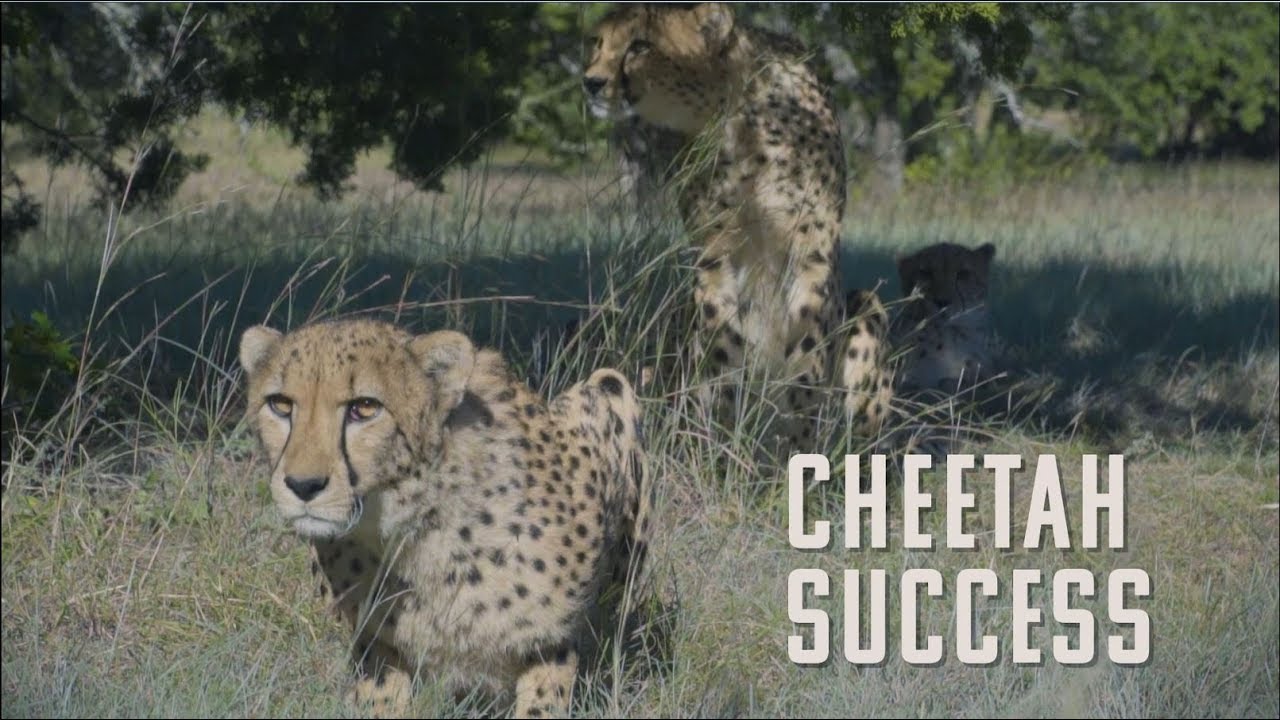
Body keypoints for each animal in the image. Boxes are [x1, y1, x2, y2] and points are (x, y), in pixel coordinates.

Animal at [237, 317, 652, 719]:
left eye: (365, 408)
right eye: (280, 404)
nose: (303, 485)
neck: (422, 524)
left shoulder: (552, 642)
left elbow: (542, 700)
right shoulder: (376, 642)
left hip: (609, 386)